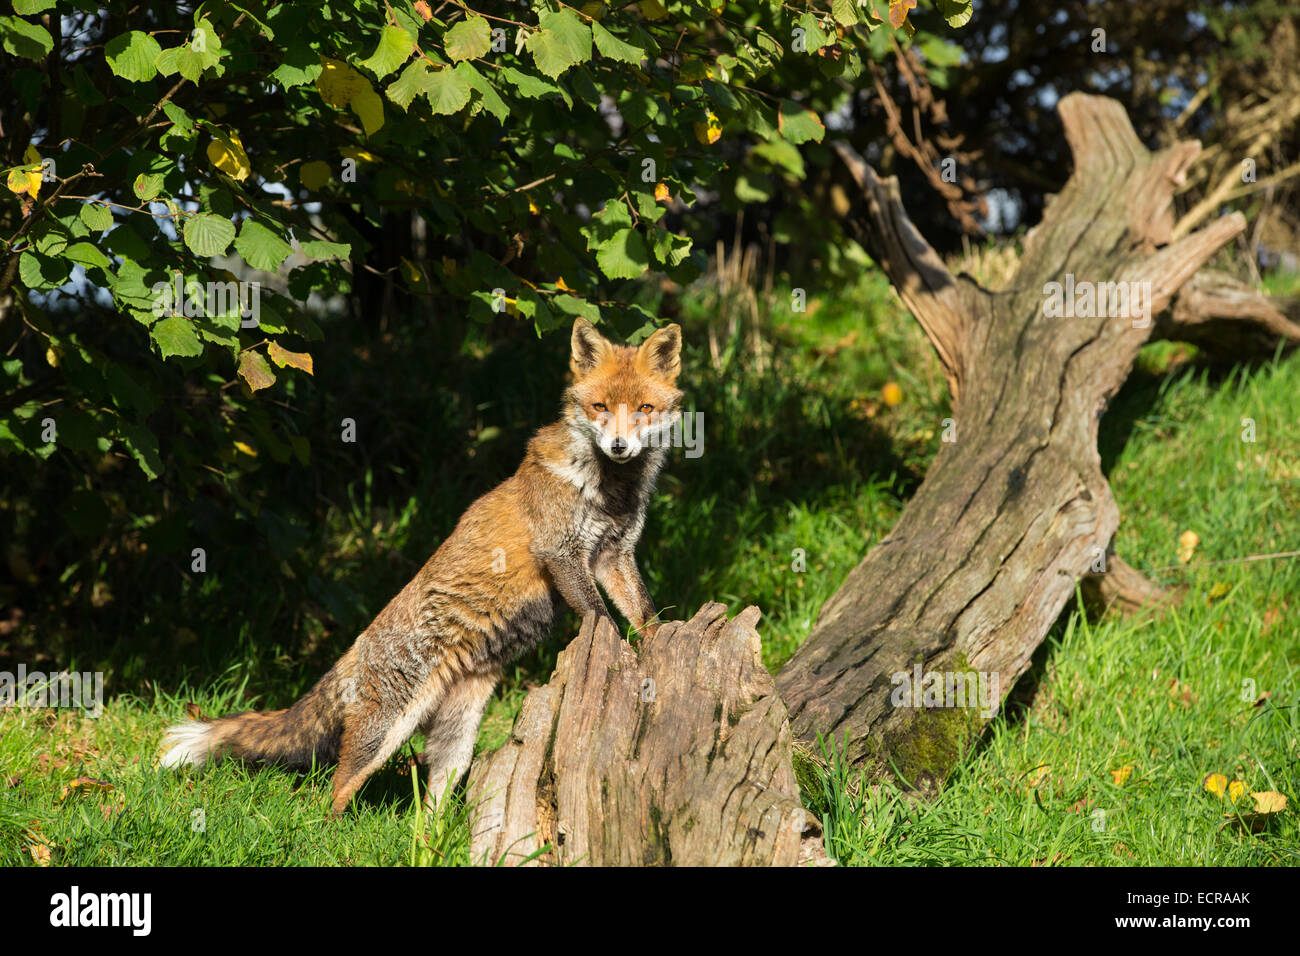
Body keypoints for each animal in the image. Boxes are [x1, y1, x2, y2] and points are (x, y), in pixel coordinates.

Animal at [161, 318, 683, 816]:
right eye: (598, 407)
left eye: (644, 409)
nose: (619, 446)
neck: (611, 491)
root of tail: (353, 650)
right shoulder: (562, 552)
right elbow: (601, 618)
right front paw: (622, 653)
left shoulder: (614, 555)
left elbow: (643, 612)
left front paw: (657, 644)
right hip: (384, 732)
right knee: (335, 790)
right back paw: (332, 832)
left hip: (457, 741)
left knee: (431, 805)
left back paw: (429, 838)